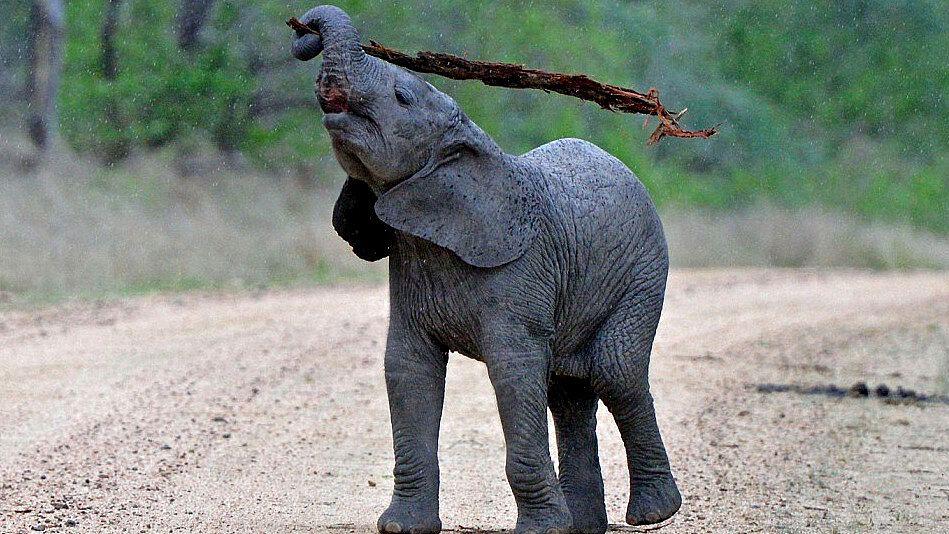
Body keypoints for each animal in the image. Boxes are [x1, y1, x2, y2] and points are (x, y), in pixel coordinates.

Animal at [291, 5, 681, 534]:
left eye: (402, 96)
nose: (305, 34)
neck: (469, 144)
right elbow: (407, 370)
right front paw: (401, 526)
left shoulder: (521, 275)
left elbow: (513, 372)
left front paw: (540, 530)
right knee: (568, 391)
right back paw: (582, 525)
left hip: (644, 270)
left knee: (613, 371)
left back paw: (655, 513)